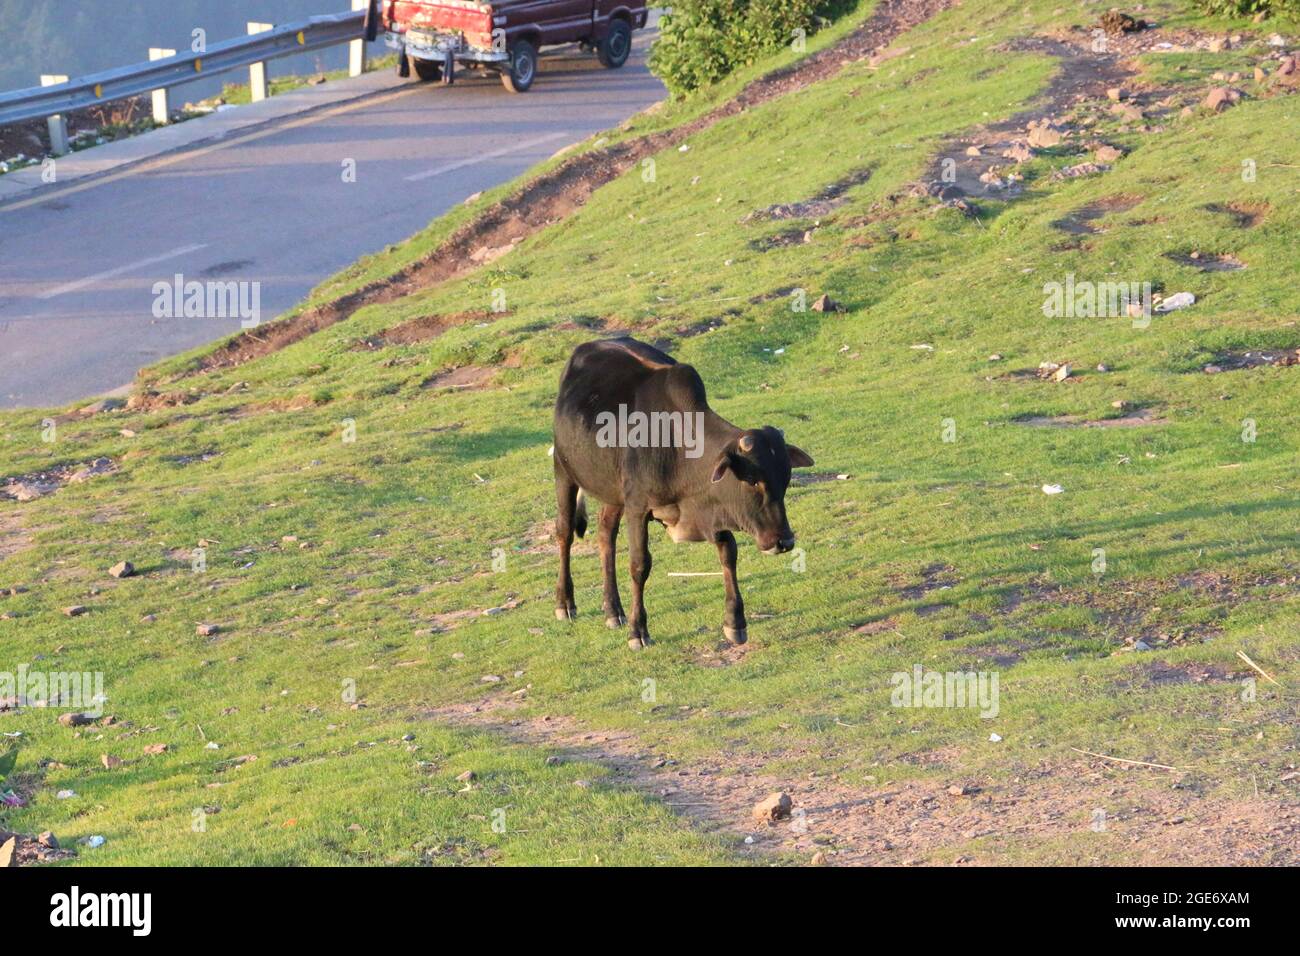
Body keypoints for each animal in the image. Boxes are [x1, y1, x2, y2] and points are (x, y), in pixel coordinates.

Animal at [552, 337, 814, 649]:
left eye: (785, 479)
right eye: (752, 481)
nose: (784, 541)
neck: (678, 445)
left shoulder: (710, 511)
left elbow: (728, 553)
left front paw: (734, 622)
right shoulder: (638, 507)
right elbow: (640, 565)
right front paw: (638, 631)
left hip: (612, 493)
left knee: (605, 536)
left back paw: (613, 610)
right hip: (564, 473)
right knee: (565, 533)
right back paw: (565, 603)